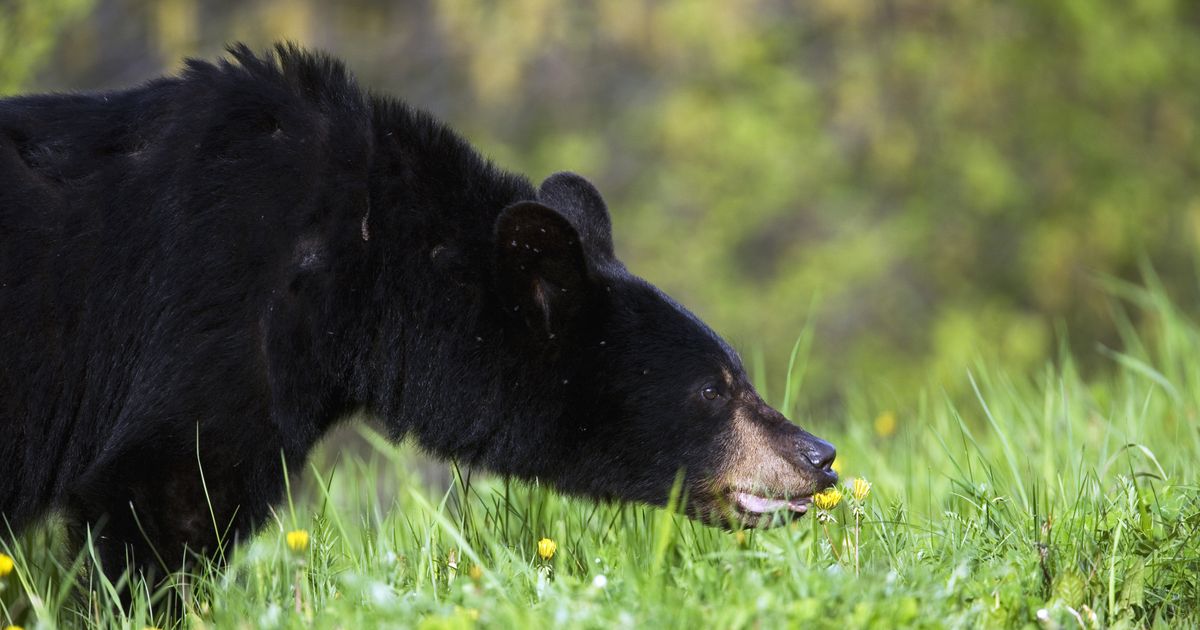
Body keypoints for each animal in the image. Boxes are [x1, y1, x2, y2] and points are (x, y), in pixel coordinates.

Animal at [0, 44, 837, 581]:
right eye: (713, 389)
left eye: (735, 372)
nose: (819, 455)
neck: (360, 267)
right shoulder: (214, 317)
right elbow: (170, 497)